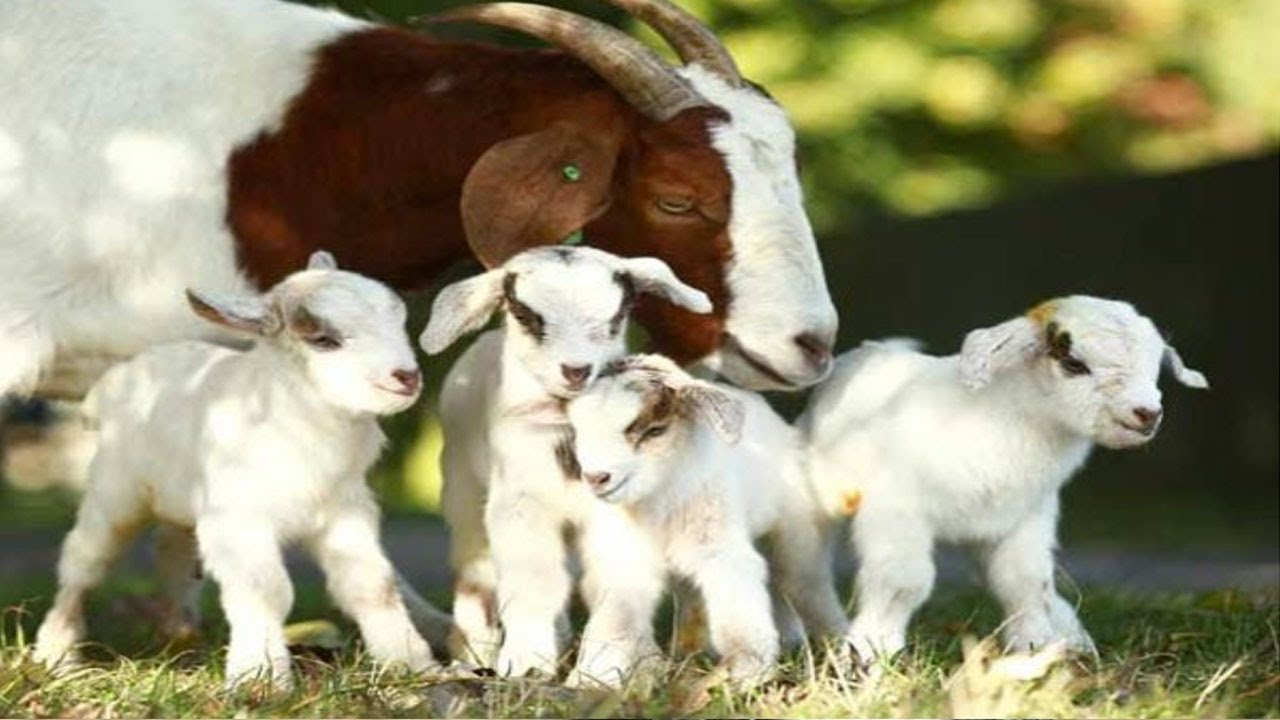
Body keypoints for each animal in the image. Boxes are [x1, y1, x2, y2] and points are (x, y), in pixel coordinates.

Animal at [32, 252, 439, 690]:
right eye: (323, 340)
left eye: (398, 323)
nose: (408, 378)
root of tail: (113, 384)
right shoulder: (239, 521)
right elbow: (266, 590)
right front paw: (259, 679)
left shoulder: (344, 513)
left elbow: (372, 585)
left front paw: (413, 664)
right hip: (114, 495)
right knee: (82, 564)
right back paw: (56, 652)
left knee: (173, 549)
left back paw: (179, 631)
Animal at [419, 246, 711, 680]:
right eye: (525, 315)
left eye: (617, 317)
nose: (576, 370)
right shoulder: (519, 506)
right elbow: (532, 582)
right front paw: (525, 664)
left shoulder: (618, 515)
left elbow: (614, 587)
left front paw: (604, 671)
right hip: (462, 491)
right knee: (476, 569)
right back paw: (476, 653)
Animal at [562, 354, 848, 685]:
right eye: (579, 430)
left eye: (655, 431)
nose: (597, 478)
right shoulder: (626, 561)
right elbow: (614, 620)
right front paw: (595, 677)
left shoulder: (721, 552)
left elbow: (738, 606)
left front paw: (747, 671)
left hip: (795, 533)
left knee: (806, 585)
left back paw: (838, 645)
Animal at [800, 296, 1209, 662]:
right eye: (1074, 363)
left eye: (1155, 366)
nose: (1148, 414)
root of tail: (873, 349)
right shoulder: (897, 511)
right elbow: (904, 580)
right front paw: (872, 650)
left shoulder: (1025, 518)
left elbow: (1026, 581)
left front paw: (1035, 646)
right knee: (812, 571)